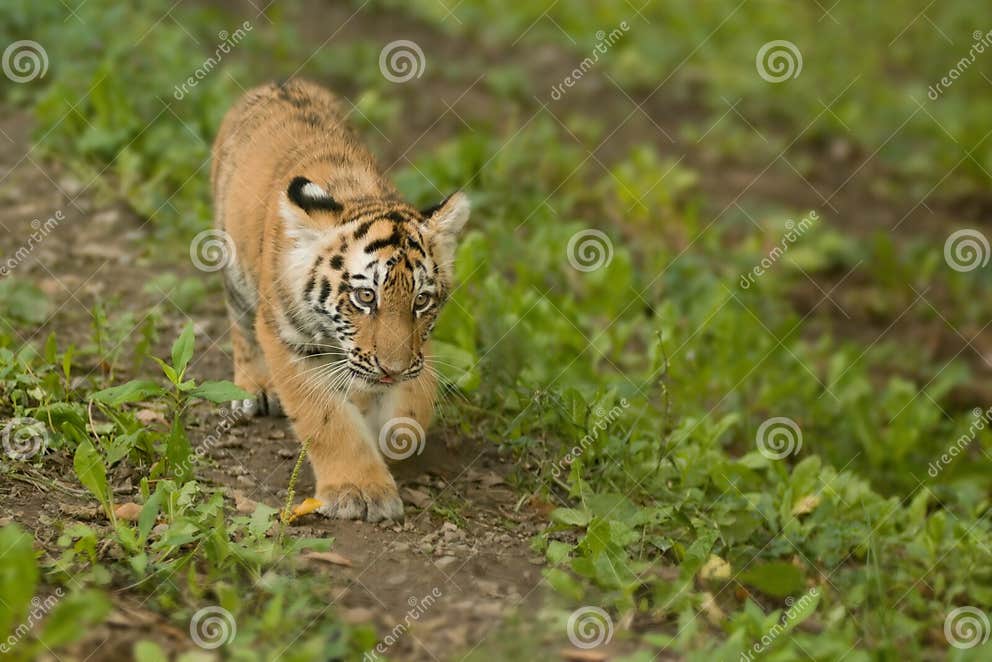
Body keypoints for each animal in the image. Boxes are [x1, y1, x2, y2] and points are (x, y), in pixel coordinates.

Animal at [210, 79, 469, 522]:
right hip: (234, 268)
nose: (391, 370)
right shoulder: (289, 340)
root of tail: (278, 82)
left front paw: (393, 434)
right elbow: (326, 419)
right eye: (365, 296)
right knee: (240, 324)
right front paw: (360, 491)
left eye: (421, 301)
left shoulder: (420, 348)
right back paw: (254, 387)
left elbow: (416, 400)